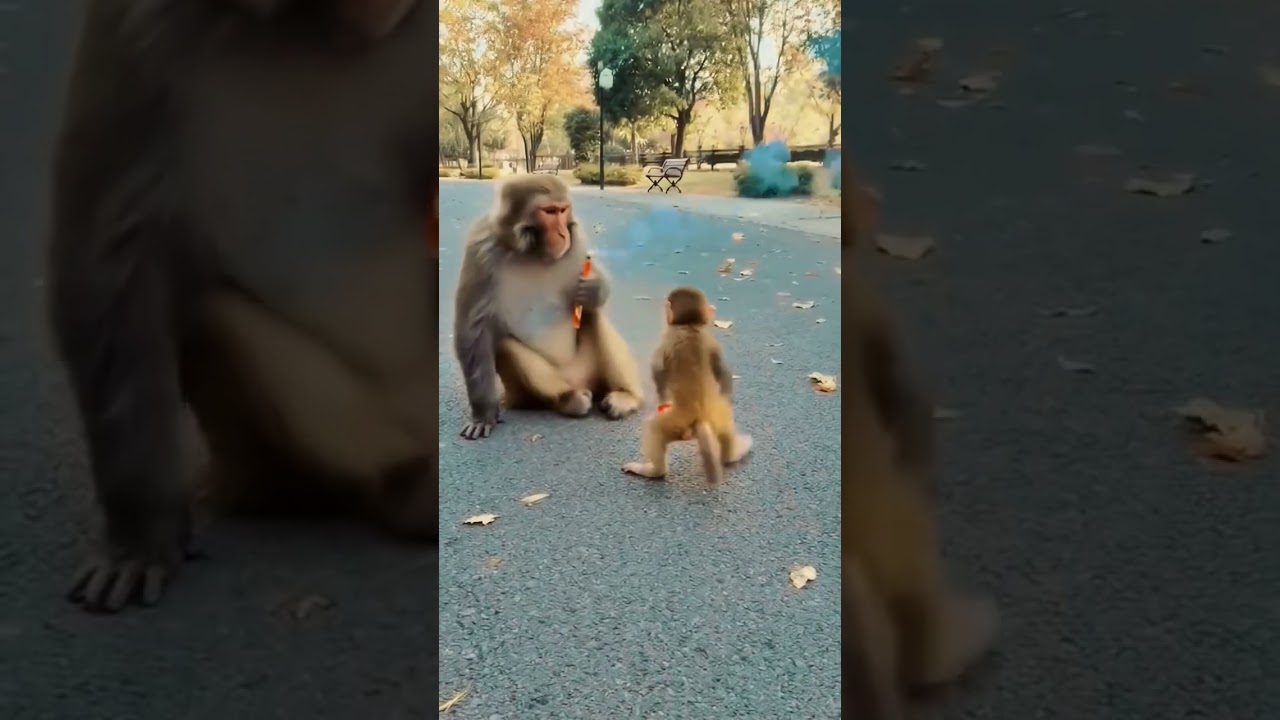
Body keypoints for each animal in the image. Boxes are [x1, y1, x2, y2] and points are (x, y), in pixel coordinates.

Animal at [452, 175, 644, 440]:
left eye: (563, 210)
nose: (562, 232)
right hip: (526, 393)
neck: (532, 251)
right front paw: (483, 414)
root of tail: (579, 380)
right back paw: (569, 400)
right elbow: (474, 331)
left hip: (591, 368)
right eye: (549, 211)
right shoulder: (481, 247)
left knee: (593, 315)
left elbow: (593, 292)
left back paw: (626, 396)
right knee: (504, 345)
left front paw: (594, 287)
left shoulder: (578, 240)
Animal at [620, 287, 753, 482]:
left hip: (676, 423)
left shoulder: (667, 336)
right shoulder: (711, 340)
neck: (690, 325)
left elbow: (658, 370)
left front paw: (662, 402)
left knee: (655, 427)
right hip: (719, 418)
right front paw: (728, 396)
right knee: (726, 430)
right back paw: (733, 454)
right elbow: (722, 369)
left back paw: (653, 470)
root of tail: (700, 418)